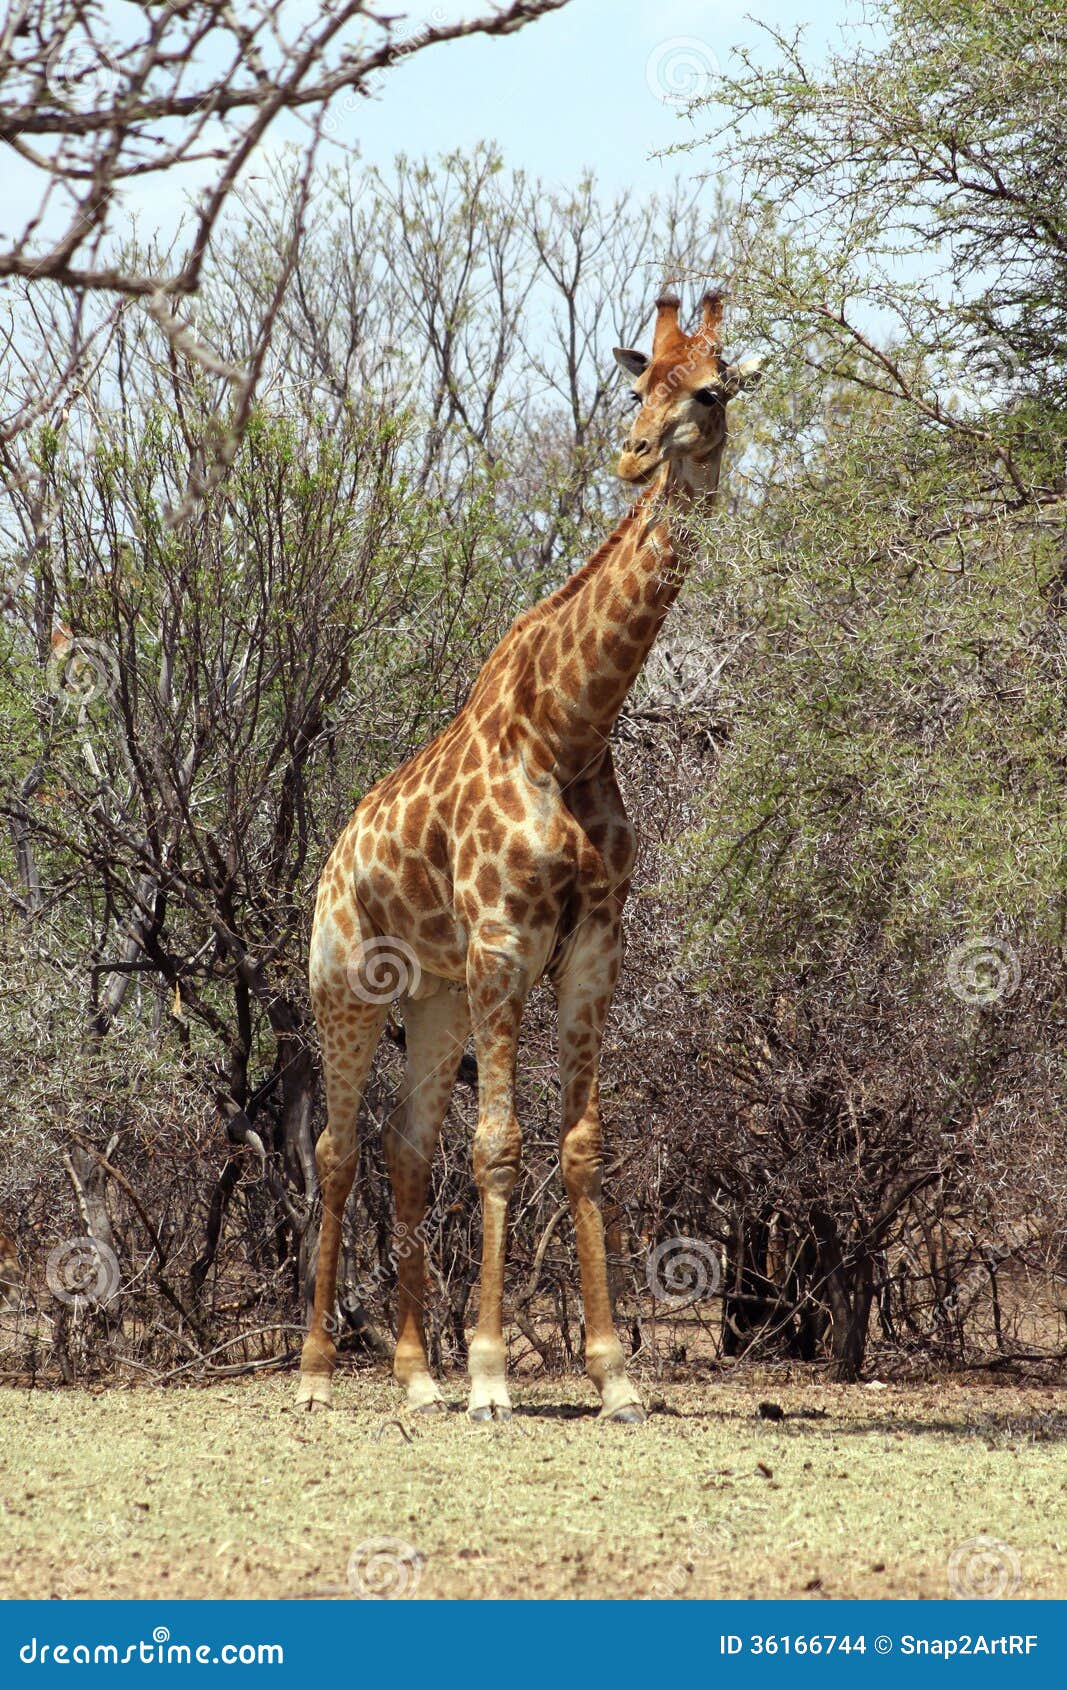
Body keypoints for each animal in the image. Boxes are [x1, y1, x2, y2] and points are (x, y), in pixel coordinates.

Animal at [298, 289, 763, 1421]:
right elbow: (500, 1145)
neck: (570, 728)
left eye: (709, 388)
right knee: (335, 1150)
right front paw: (492, 1372)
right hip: (346, 988)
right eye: (637, 388)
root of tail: (330, 858)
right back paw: (320, 1371)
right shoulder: (506, 937)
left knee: (404, 1149)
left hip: (434, 1002)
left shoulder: (593, 943)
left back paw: (413, 1377)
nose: (634, 455)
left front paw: (611, 1374)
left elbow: (583, 1146)